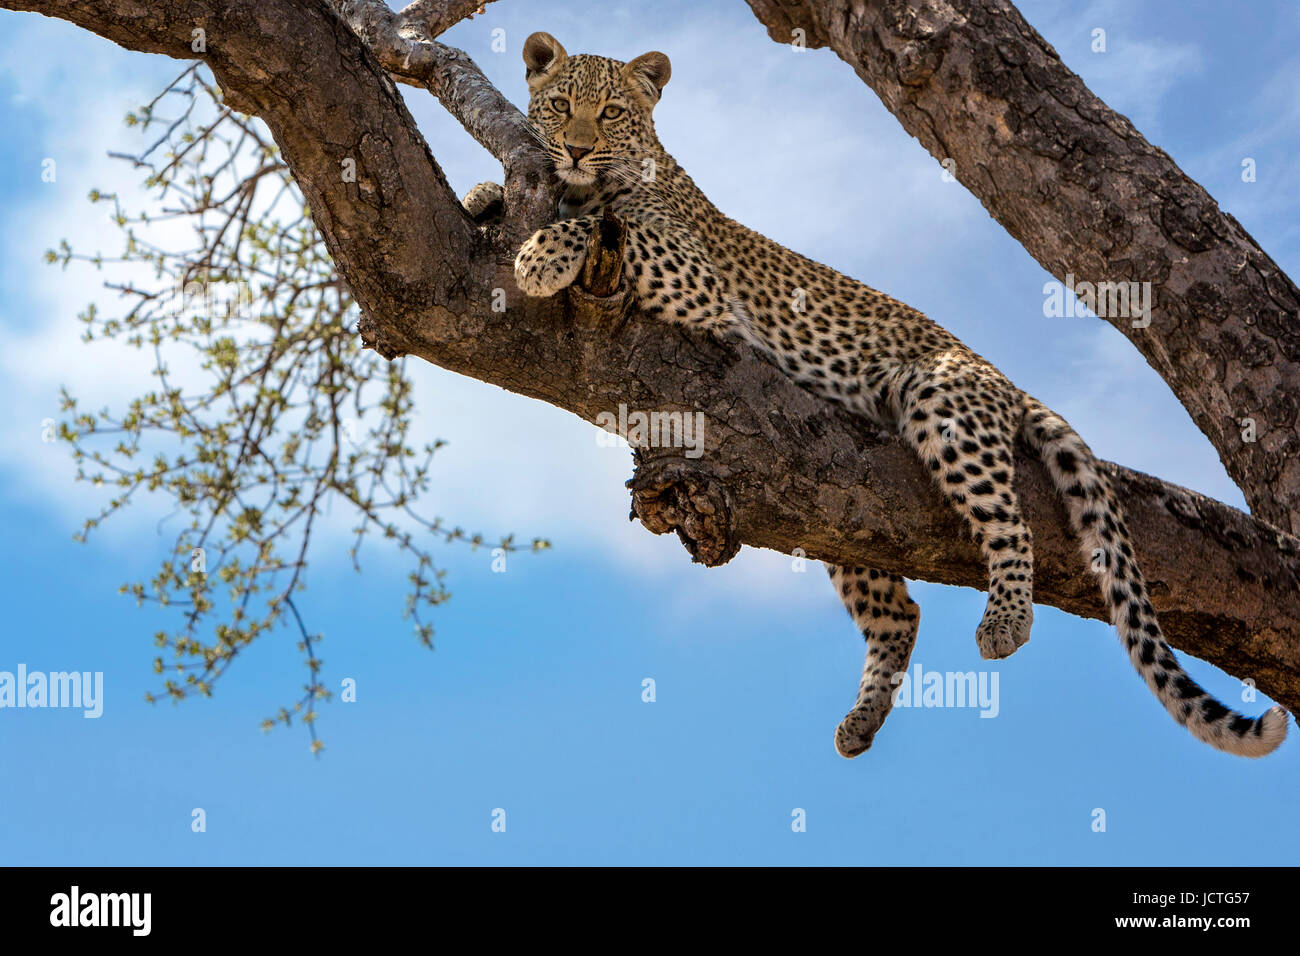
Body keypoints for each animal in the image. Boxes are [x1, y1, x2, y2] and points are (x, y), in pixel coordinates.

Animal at [478, 30, 1288, 759]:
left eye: (612, 112)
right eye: (560, 106)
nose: (575, 149)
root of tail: (1002, 375)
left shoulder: (694, 278)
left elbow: (603, 222)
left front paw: (541, 253)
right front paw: (488, 196)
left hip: (944, 405)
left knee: (1011, 523)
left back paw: (1005, 623)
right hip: (837, 513)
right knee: (899, 610)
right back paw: (861, 722)